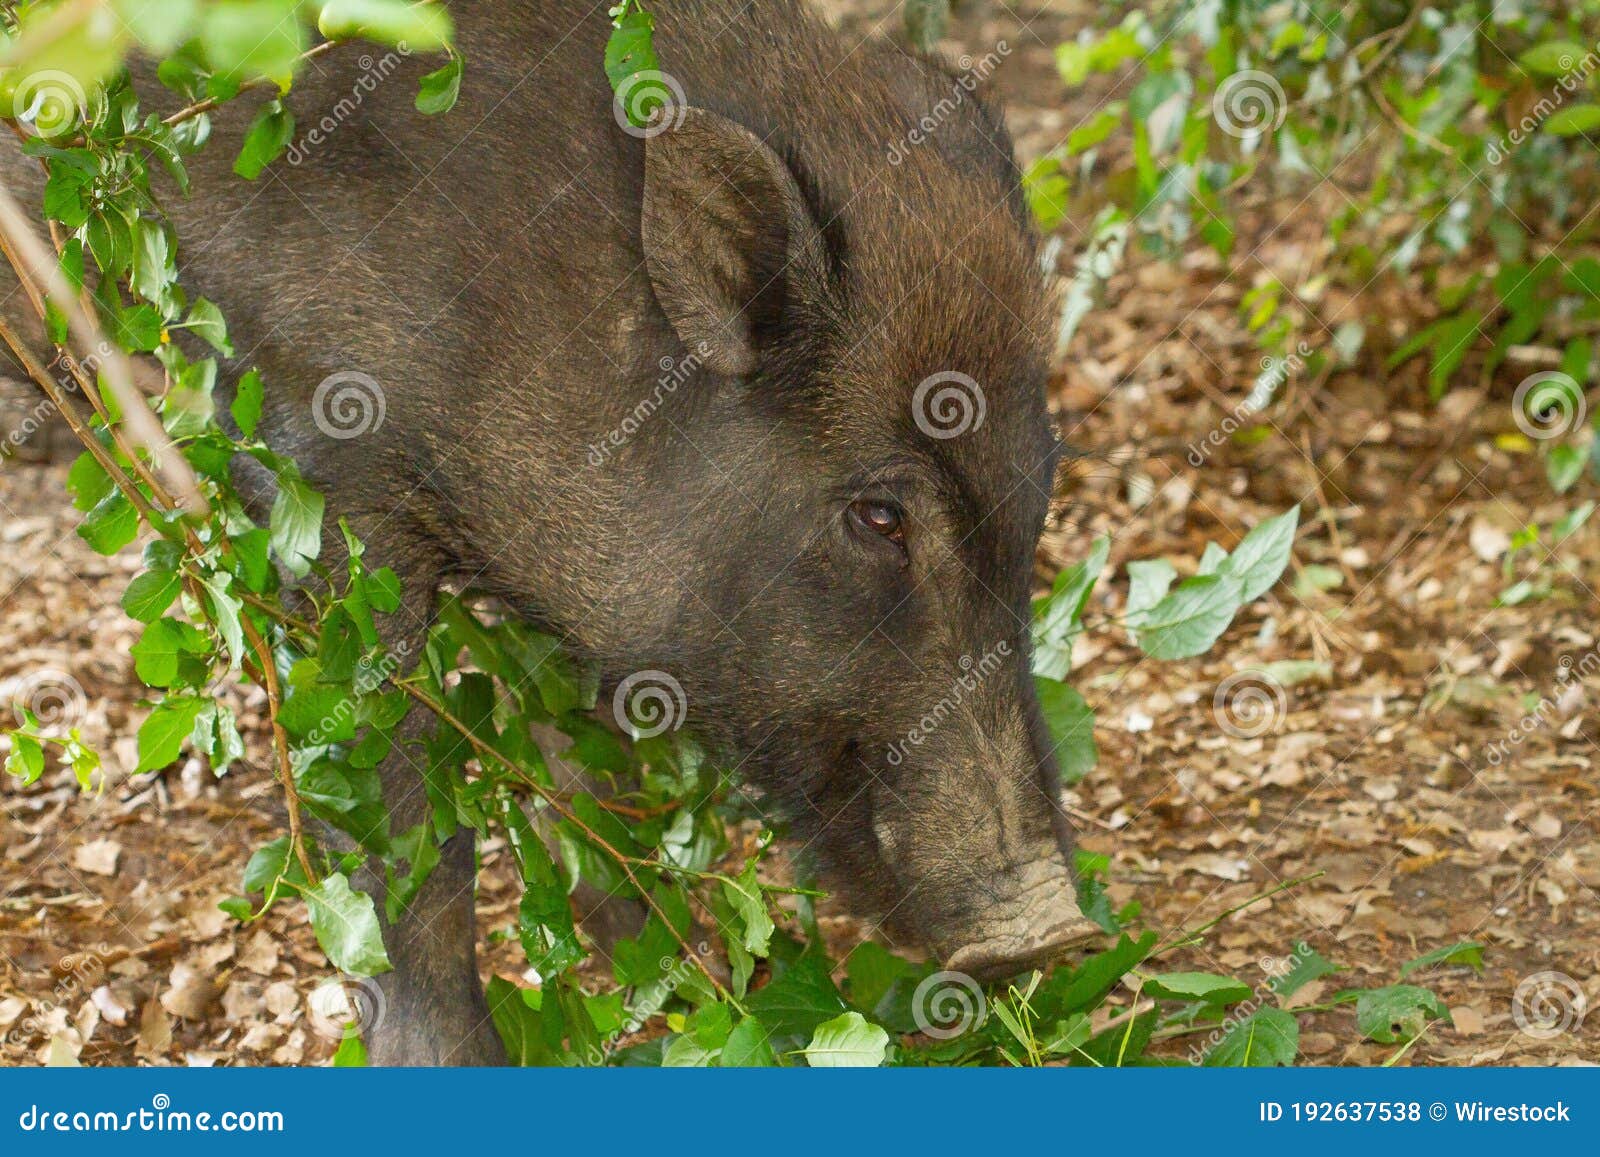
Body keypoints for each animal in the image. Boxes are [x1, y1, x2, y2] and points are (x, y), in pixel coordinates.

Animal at [20, 0, 1101, 1063]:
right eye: (879, 514)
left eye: (1040, 491)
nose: (1060, 932)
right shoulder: (311, 470)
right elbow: (407, 822)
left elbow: (583, 761)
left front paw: (688, 976)